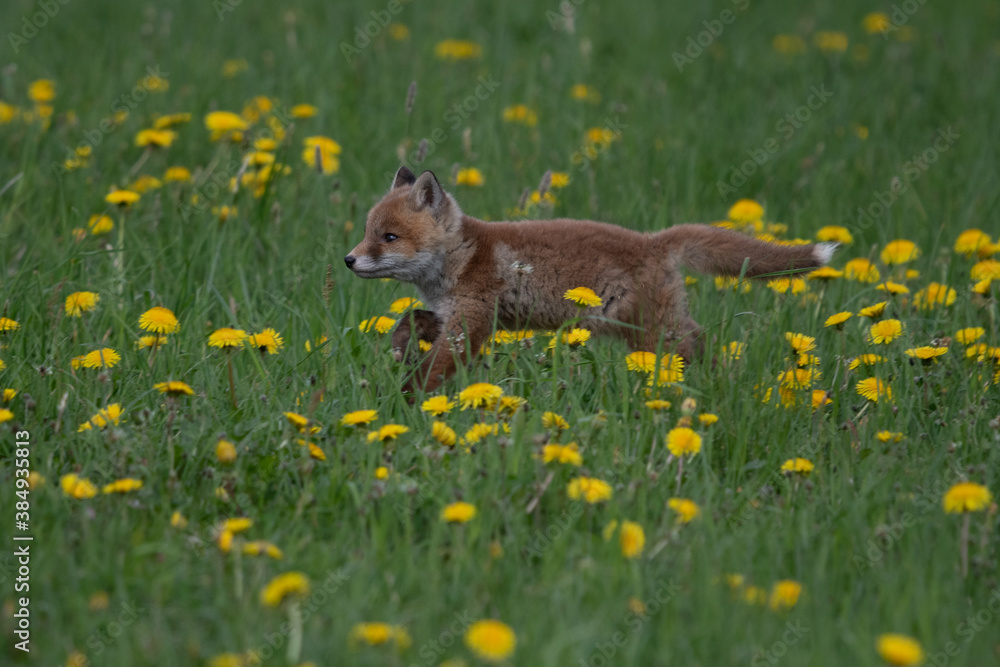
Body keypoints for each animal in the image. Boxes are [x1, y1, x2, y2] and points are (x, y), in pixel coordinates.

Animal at [345, 166, 836, 393]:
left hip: (655, 335)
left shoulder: (473, 325)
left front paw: (406, 403)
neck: (460, 259)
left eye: (389, 238)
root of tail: (653, 241)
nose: (348, 260)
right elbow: (408, 320)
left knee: (703, 351)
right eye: (368, 232)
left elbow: (433, 372)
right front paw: (399, 352)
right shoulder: (455, 317)